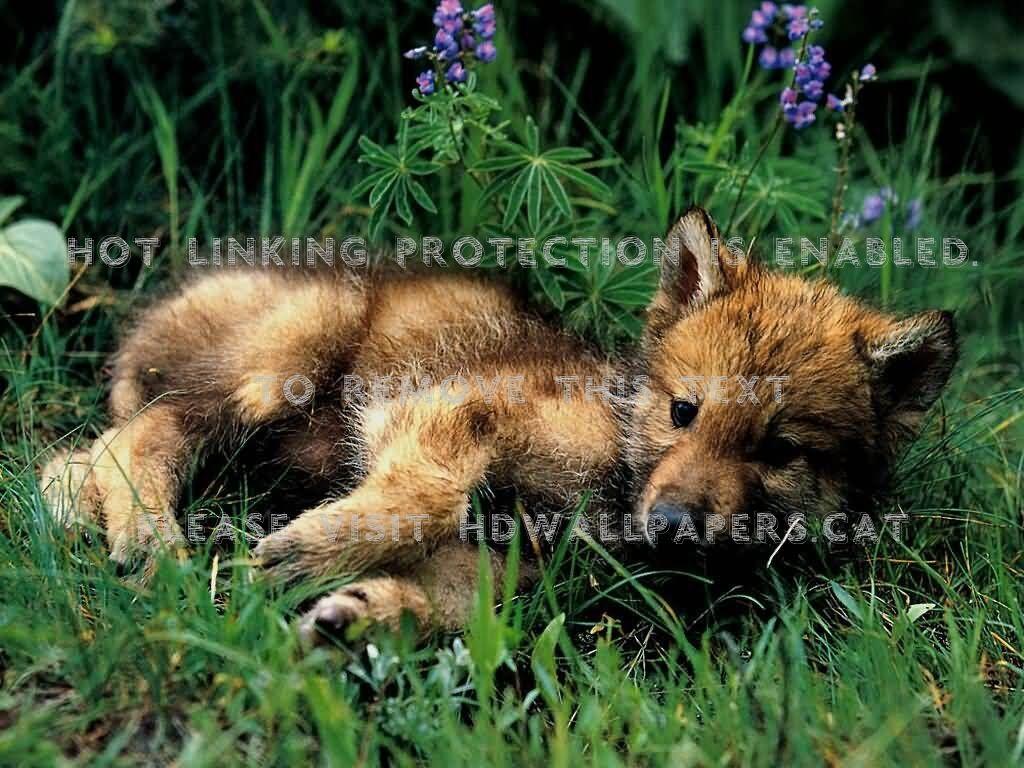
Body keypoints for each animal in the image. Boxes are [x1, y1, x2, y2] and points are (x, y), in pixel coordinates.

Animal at [40, 207, 957, 644]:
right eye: (683, 411)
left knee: (93, 448)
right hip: (290, 357)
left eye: (780, 449)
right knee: (139, 436)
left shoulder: (519, 568)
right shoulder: (447, 409)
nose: (669, 525)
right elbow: (427, 497)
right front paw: (301, 551)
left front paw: (356, 618)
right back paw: (146, 538)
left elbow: (447, 601)